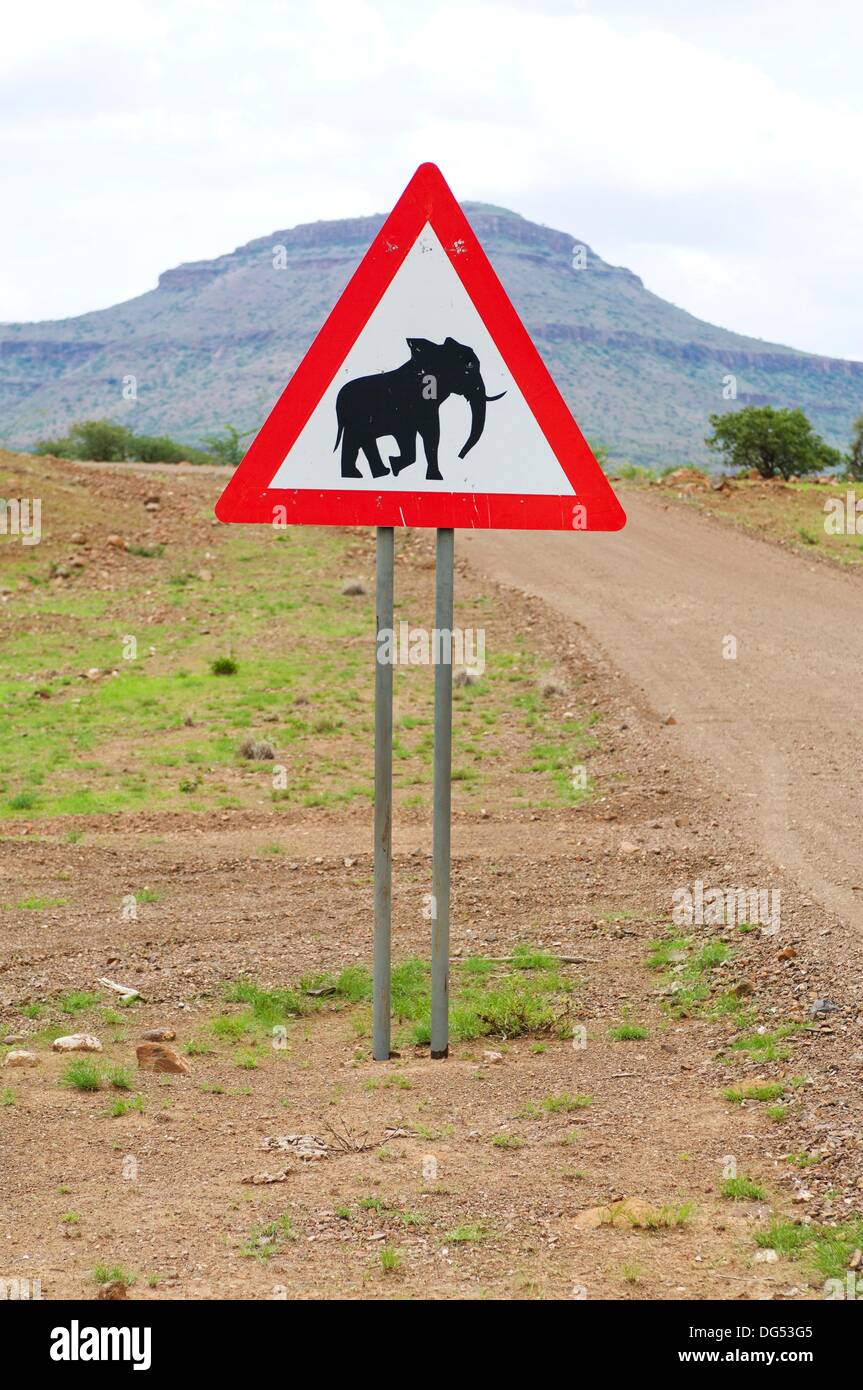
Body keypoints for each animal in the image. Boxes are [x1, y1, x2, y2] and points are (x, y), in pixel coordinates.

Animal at [333, 336, 505, 481]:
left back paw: (357, 475)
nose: (459, 456)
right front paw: (395, 465)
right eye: (468, 367)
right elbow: (412, 438)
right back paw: (378, 473)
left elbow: (432, 436)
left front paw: (435, 479)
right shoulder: (406, 409)